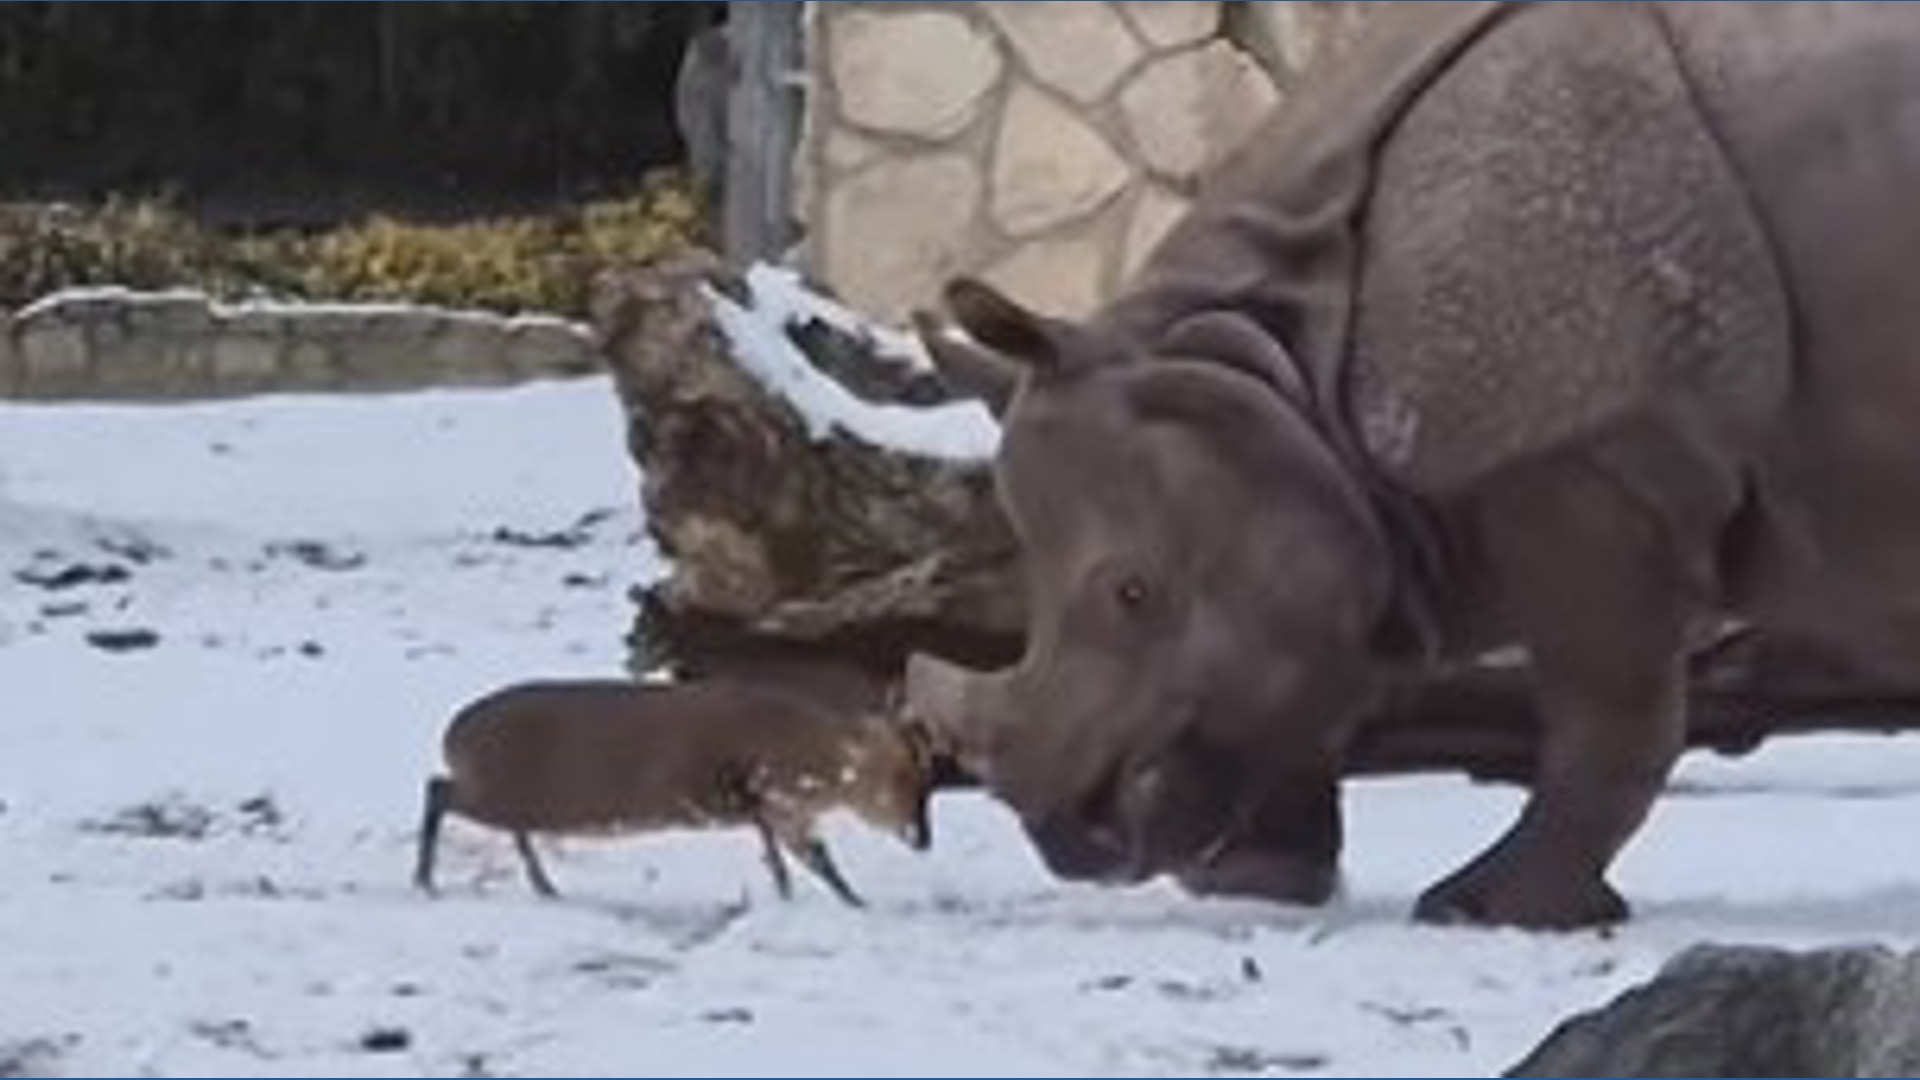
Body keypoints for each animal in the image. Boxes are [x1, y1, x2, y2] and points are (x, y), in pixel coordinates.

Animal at [412, 678, 938, 907]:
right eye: (901, 774)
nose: (923, 837)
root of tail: (451, 734)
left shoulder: (775, 810)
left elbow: (798, 860)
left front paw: (820, 898)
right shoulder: (771, 799)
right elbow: (804, 859)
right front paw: (850, 903)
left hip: (514, 796)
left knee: (506, 825)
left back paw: (546, 887)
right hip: (497, 788)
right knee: (437, 789)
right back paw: (425, 881)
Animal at [904, 1, 1920, 929]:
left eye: (1131, 593)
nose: (1071, 843)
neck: (1278, 357)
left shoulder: (1580, 454)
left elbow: (1607, 711)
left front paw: (1488, 911)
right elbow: (1319, 676)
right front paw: (1253, 882)